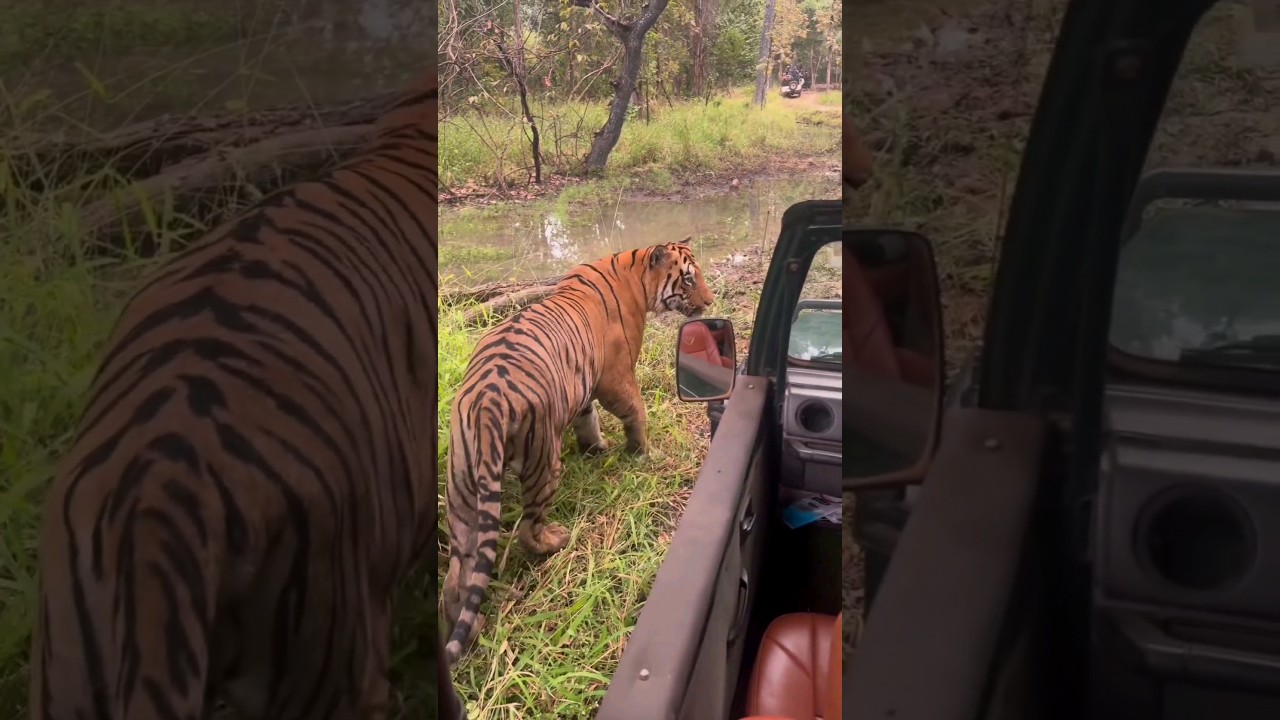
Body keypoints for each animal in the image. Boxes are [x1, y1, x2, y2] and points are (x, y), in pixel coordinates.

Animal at [441, 241, 715, 666]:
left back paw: (470, 628)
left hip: (463, 487)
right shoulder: (616, 375)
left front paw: (595, 448)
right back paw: (556, 540)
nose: (710, 301)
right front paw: (642, 452)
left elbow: (588, 419)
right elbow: (635, 411)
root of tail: (487, 402)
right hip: (542, 461)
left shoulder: (585, 387)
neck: (633, 270)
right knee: (528, 531)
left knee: (458, 576)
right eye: (688, 279)